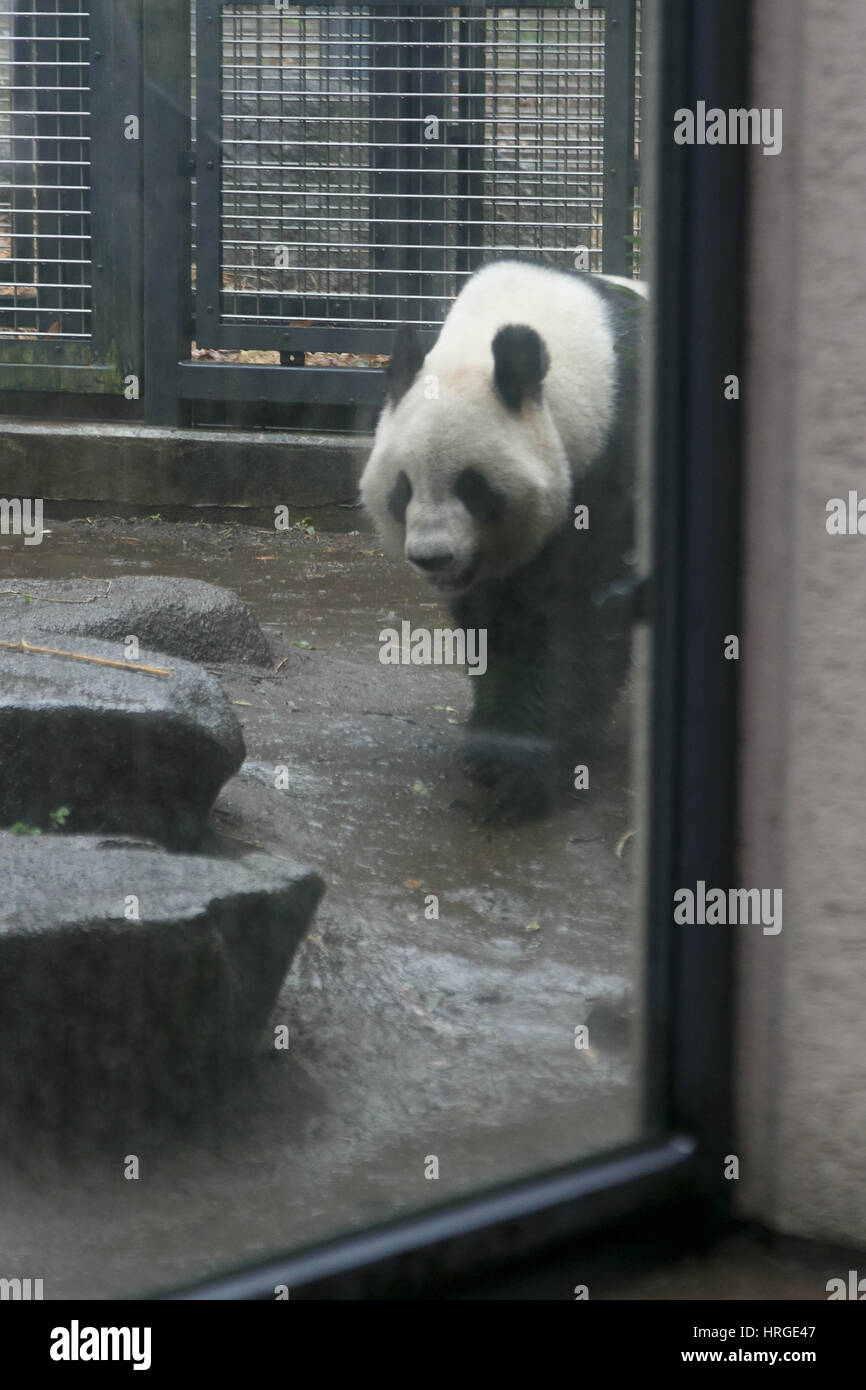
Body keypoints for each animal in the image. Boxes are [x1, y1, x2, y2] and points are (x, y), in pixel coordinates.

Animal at [360, 259, 648, 818]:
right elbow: (496, 622)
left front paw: (528, 770)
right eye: (404, 488)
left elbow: (579, 620)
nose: (433, 557)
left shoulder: (611, 469)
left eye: (472, 486)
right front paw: (490, 747)